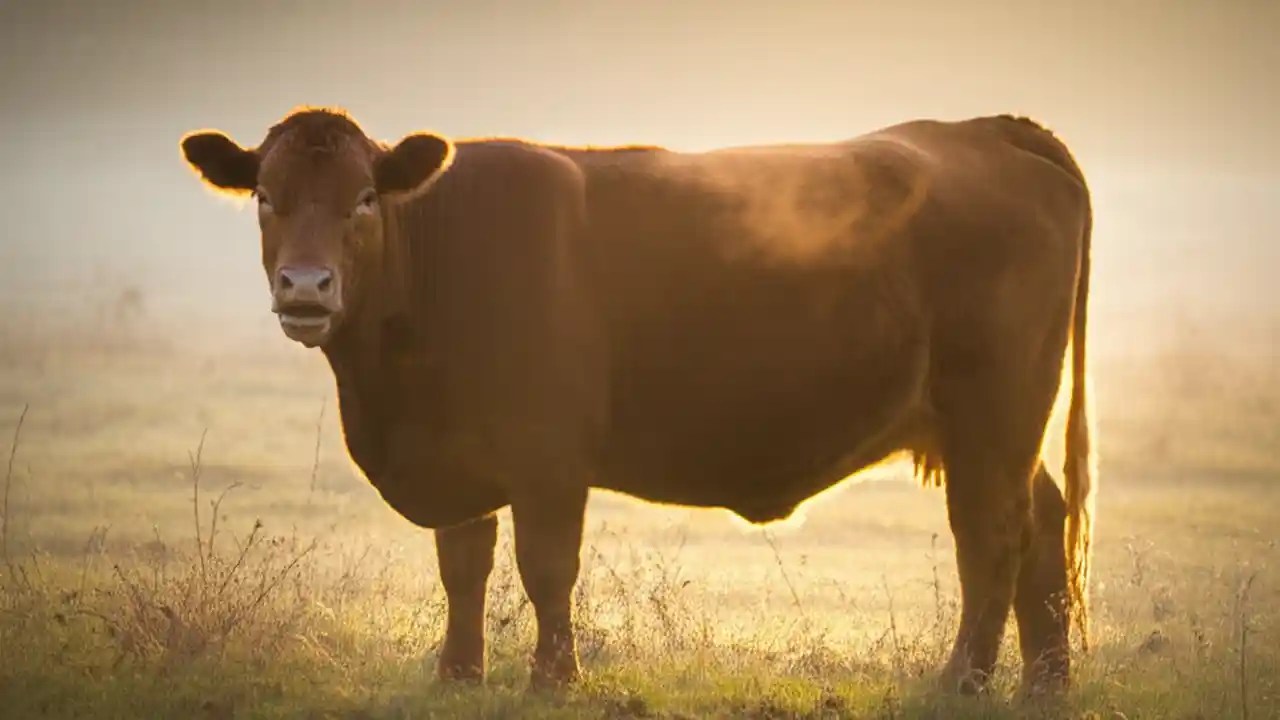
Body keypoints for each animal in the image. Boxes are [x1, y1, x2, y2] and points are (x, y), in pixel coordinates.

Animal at [179, 106, 1095, 696]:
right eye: (265, 196)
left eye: (365, 198)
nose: (306, 287)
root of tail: (987, 130)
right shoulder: (459, 455)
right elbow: (463, 566)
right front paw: (458, 675)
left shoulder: (548, 460)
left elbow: (546, 568)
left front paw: (553, 680)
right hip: (996, 429)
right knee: (1043, 521)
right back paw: (1045, 682)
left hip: (993, 413)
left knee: (992, 537)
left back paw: (963, 681)